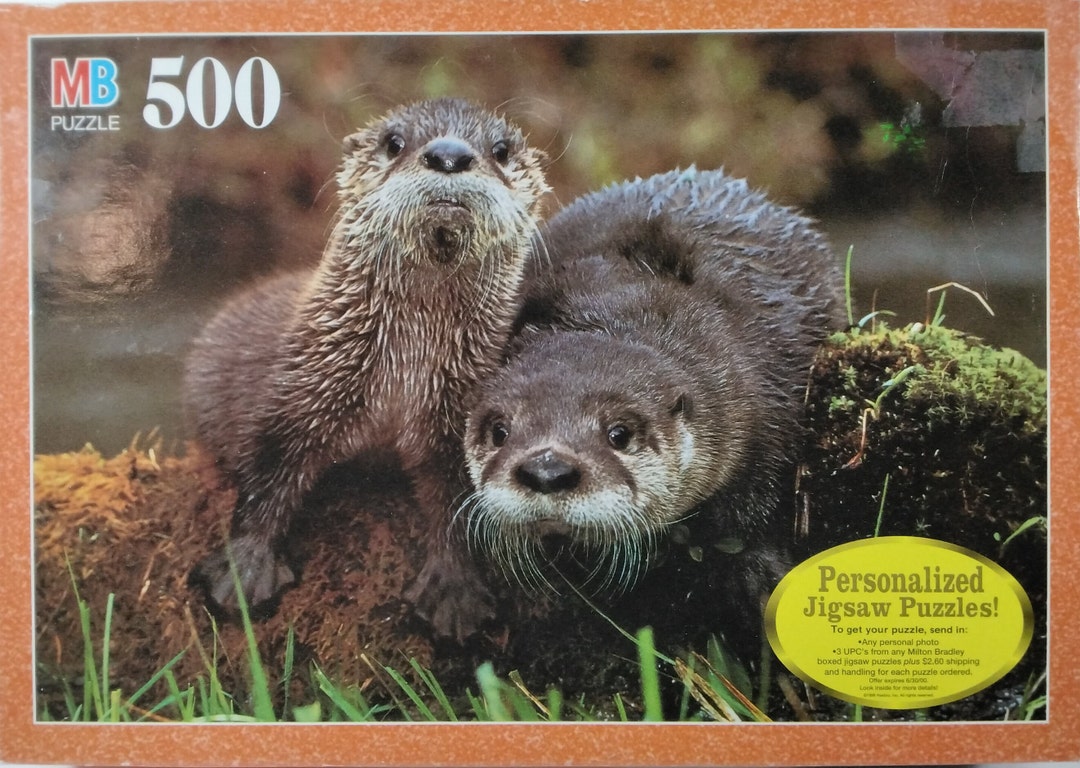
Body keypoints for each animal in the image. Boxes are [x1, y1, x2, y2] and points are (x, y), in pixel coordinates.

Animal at [185, 98, 549, 640]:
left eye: (501, 150)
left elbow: (460, 501)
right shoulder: (304, 384)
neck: (404, 371)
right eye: (394, 143)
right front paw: (243, 570)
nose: (449, 154)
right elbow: (268, 472)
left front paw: (455, 591)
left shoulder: (461, 412)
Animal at [462, 167, 844, 633]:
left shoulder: (771, 406)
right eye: (500, 431)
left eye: (619, 434)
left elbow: (759, 502)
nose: (547, 471)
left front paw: (758, 571)